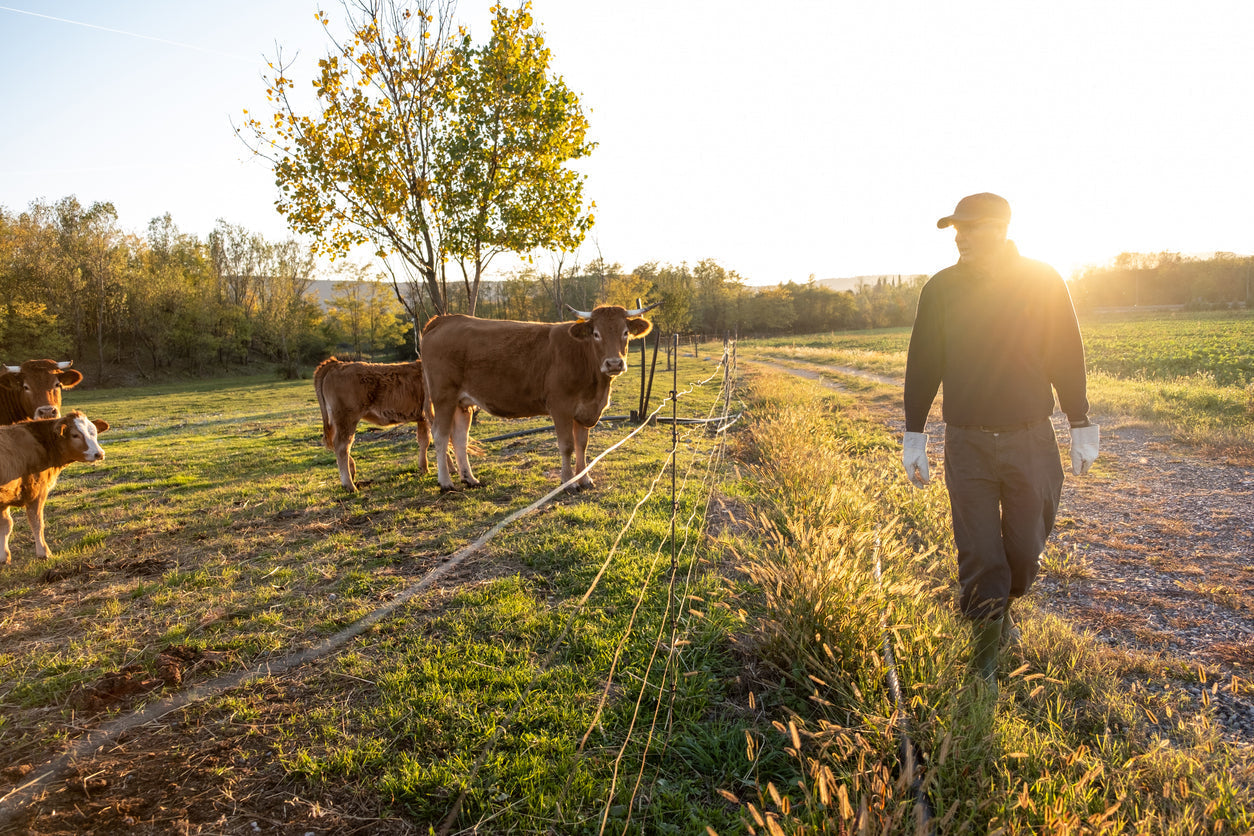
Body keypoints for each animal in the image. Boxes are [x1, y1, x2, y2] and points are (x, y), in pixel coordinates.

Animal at [0, 410, 109, 565]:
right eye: (75, 435)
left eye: (94, 432)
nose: (99, 453)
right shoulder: (37, 492)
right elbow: (37, 522)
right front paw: (44, 553)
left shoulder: (4, 500)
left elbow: (6, 526)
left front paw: (4, 556)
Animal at [314, 357, 435, 491]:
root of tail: (337, 364)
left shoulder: (422, 418)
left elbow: (424, 441)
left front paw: (424, 468)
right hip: (346, 419)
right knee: (342, 446)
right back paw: (350, 485)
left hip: (336, 421)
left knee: (335, 444)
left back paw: (352, 470)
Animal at [420, 303, 657, 491]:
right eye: (596, 334)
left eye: (625, 332)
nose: (614, 363)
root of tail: (445, 319)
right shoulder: (561, 407)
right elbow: (567, 445)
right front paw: (569, 482)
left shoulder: (585, 410)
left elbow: (582, 444)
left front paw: (585, 479)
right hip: (444, 397)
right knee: (440, 436)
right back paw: (446, 483)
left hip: (462, 403)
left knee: (460, 438)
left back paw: (470, 479)